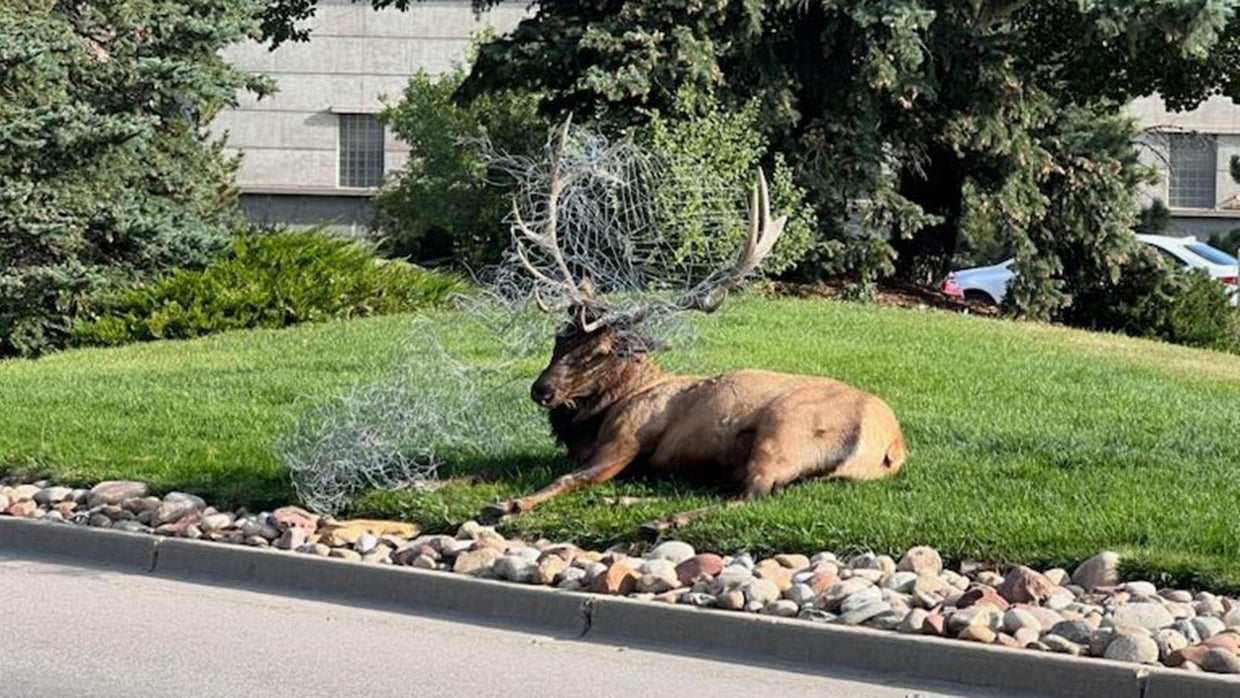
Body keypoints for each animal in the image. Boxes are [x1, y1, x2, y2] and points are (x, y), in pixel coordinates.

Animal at [478, 140, 906, 531]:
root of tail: (893, 445)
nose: (542, 389)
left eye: (603, 351)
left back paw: (662, 521)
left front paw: (507, 505)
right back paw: (625, 502)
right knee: (731, 489)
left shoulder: (626, 438)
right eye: (559, 337)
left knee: (750, 496)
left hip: (784, 432)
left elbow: (569, 479)